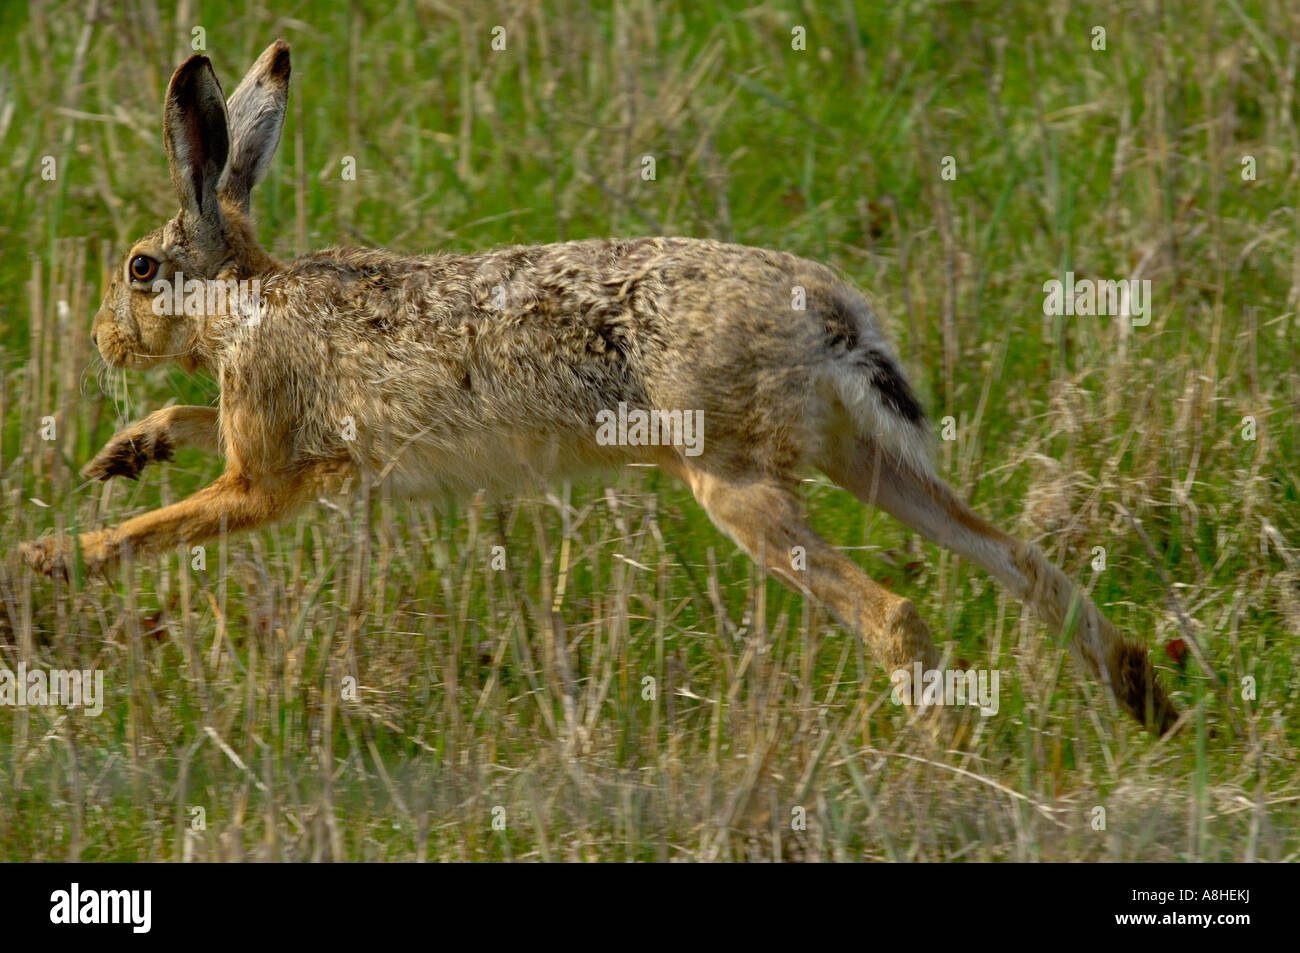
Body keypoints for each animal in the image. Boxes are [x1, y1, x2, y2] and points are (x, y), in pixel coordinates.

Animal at [19, 41, 1178, 735]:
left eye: (140, 267)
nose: (107, 339)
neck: (243, 301)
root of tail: (831, 318)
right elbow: (185, 421)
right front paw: (118, 452)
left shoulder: (268, 475)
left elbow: (168, 525)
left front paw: (47, 557)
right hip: (862, 456)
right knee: (1022, 561)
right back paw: (1144, 701)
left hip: (732, 477)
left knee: (895, 612)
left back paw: (931, 747)